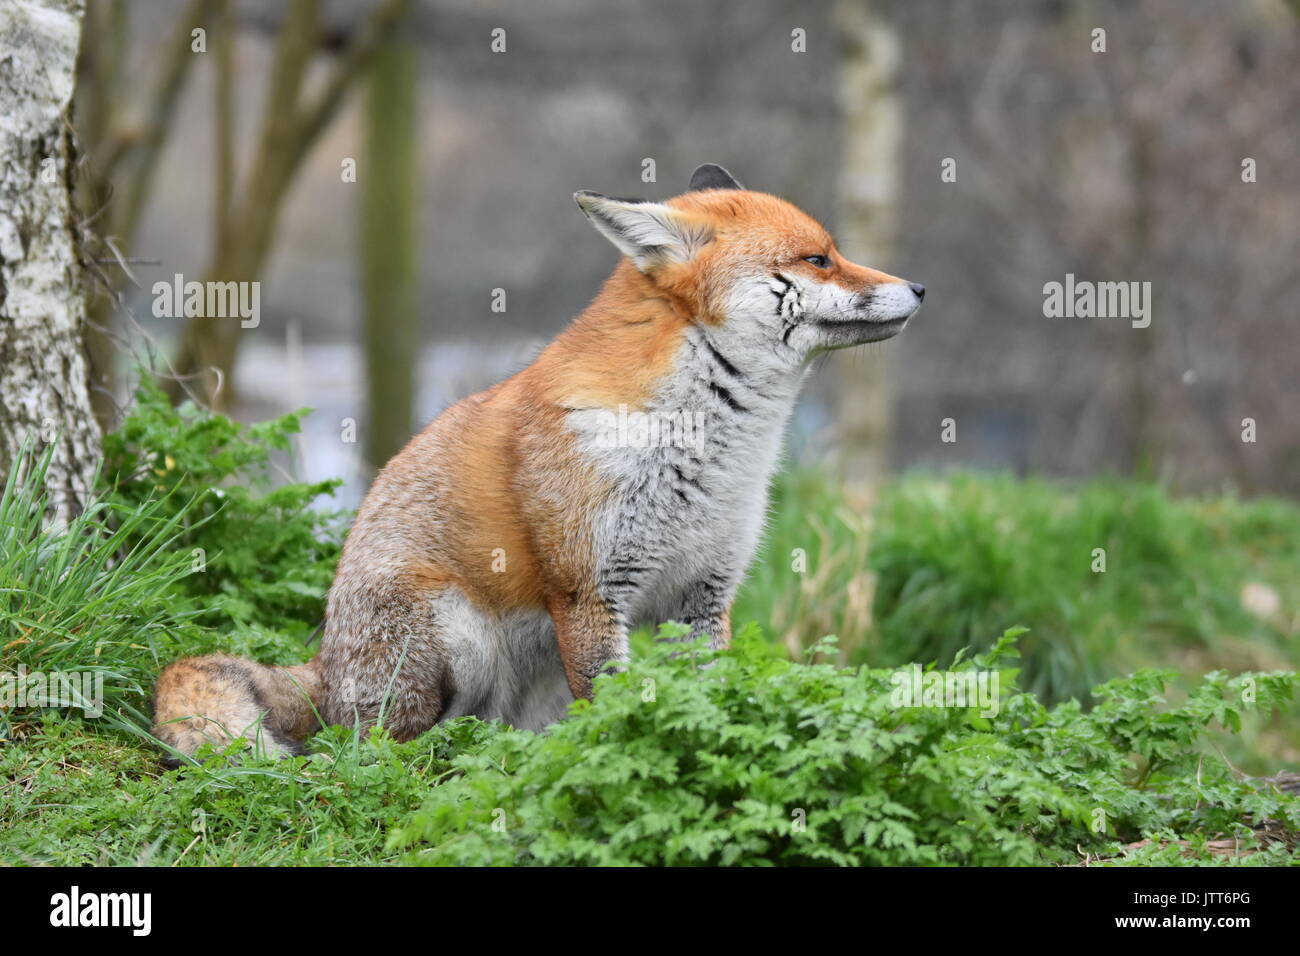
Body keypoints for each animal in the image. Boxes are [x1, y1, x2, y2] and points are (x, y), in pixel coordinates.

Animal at [152, 163, 925, 761]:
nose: (920, 289)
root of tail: (324, 663)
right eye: (818, 259)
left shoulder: (703, 594)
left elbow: (707, 698)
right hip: (455, 636)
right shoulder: (589, 591)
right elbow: (617, 710)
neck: (712, 454)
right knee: (374, 750)